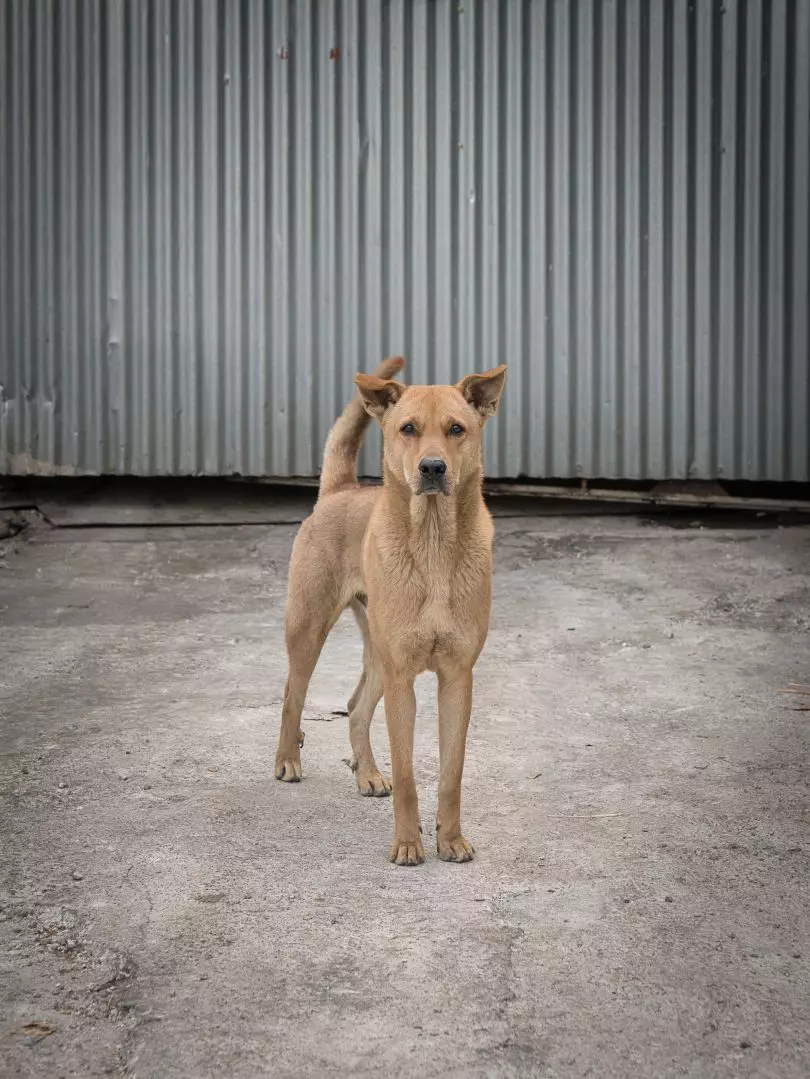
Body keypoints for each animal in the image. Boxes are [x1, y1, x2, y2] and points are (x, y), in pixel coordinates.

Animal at [276, 358, 504, 863]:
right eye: (408, 429)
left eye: (456, 429)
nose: (432, 467)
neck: (434, 543)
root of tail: (338, 490)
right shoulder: (403, 678)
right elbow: (408, 775)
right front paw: (407, 842)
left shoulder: (457, 677)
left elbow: (451, 774)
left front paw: (450, 839)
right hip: (309, 630)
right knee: (292, 696)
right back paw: (287, 760)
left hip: (378, 654)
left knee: (355, 708)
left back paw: (367, 774)